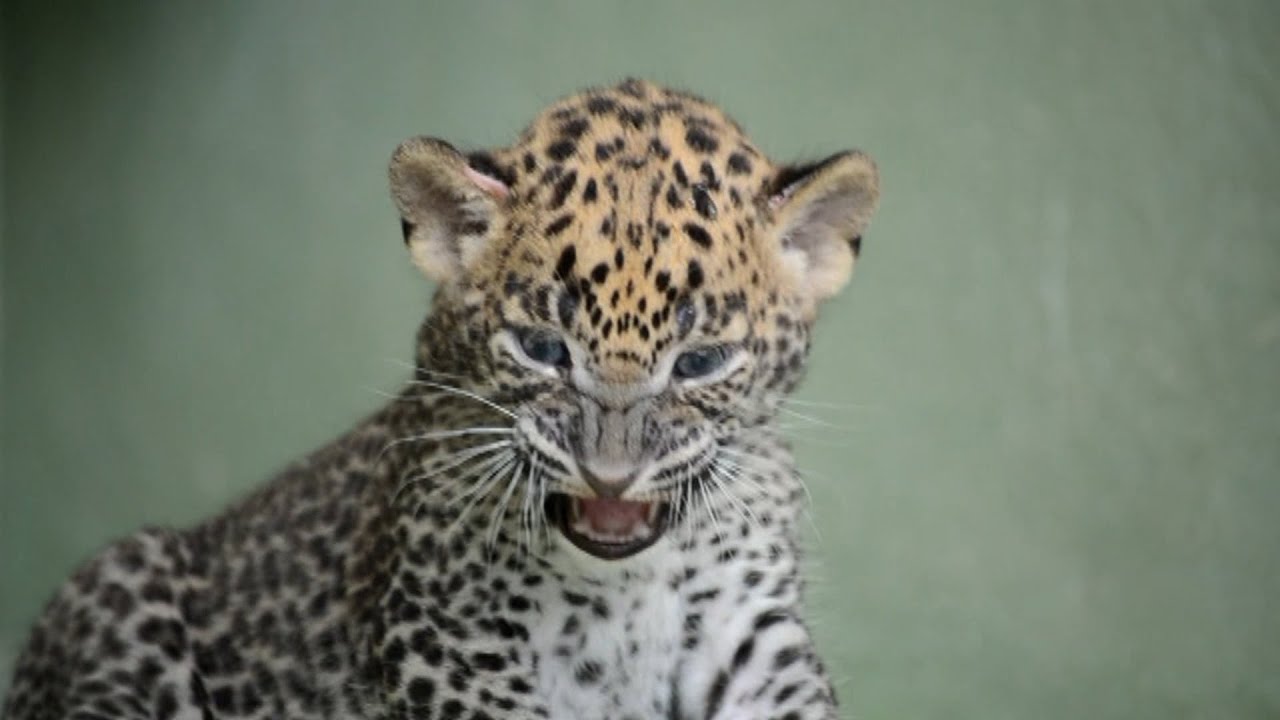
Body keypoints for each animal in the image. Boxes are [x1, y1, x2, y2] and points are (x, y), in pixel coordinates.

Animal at [2, 78, 880, 720]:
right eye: (542, 349)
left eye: (700, 362)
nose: (610, 477)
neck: (625, 581)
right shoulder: (444, 641)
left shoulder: (747, 635)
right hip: (115, 591)